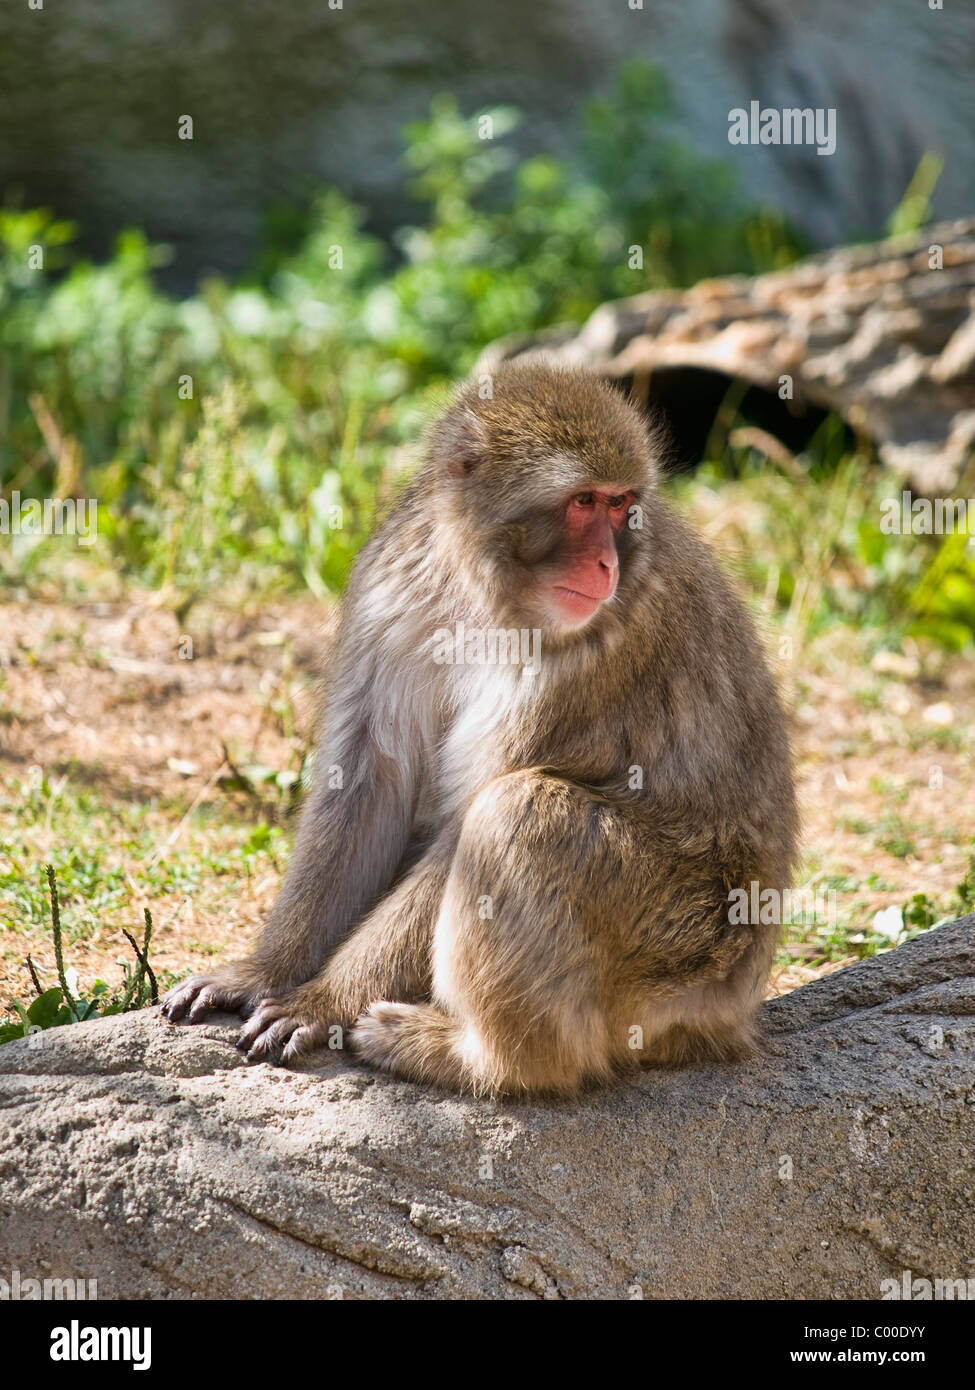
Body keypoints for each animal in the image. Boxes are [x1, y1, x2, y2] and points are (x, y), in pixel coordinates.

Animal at [162, 360, 798, 1096]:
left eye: (620, 505)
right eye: (584, 502)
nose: (608, 565)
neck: (483, 591)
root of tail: (736, 1007)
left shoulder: (600, 652)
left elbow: (460, 828)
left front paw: (321, 1002)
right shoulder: (389, 584)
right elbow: (368, 783)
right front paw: (264, 972)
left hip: (682, 955)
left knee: (518, 811)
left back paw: (482, 1058)